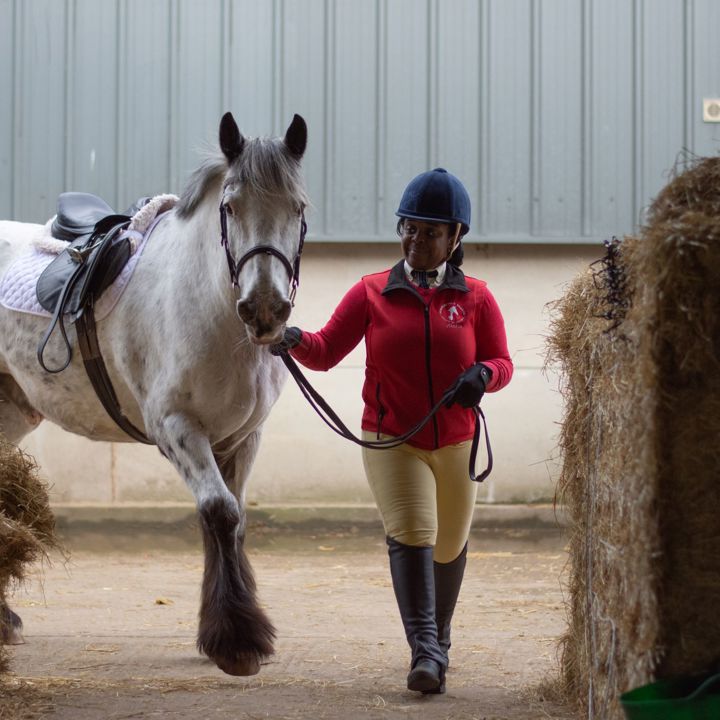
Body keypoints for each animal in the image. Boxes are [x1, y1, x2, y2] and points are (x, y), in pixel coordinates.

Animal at [0, 111, 309, 675]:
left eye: (298, 208)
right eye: (229, 207)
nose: (265, 310)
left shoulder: (242, 437)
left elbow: (233, 520)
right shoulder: (176, 429)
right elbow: (219, 512)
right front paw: (237, 640)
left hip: (12, 409)